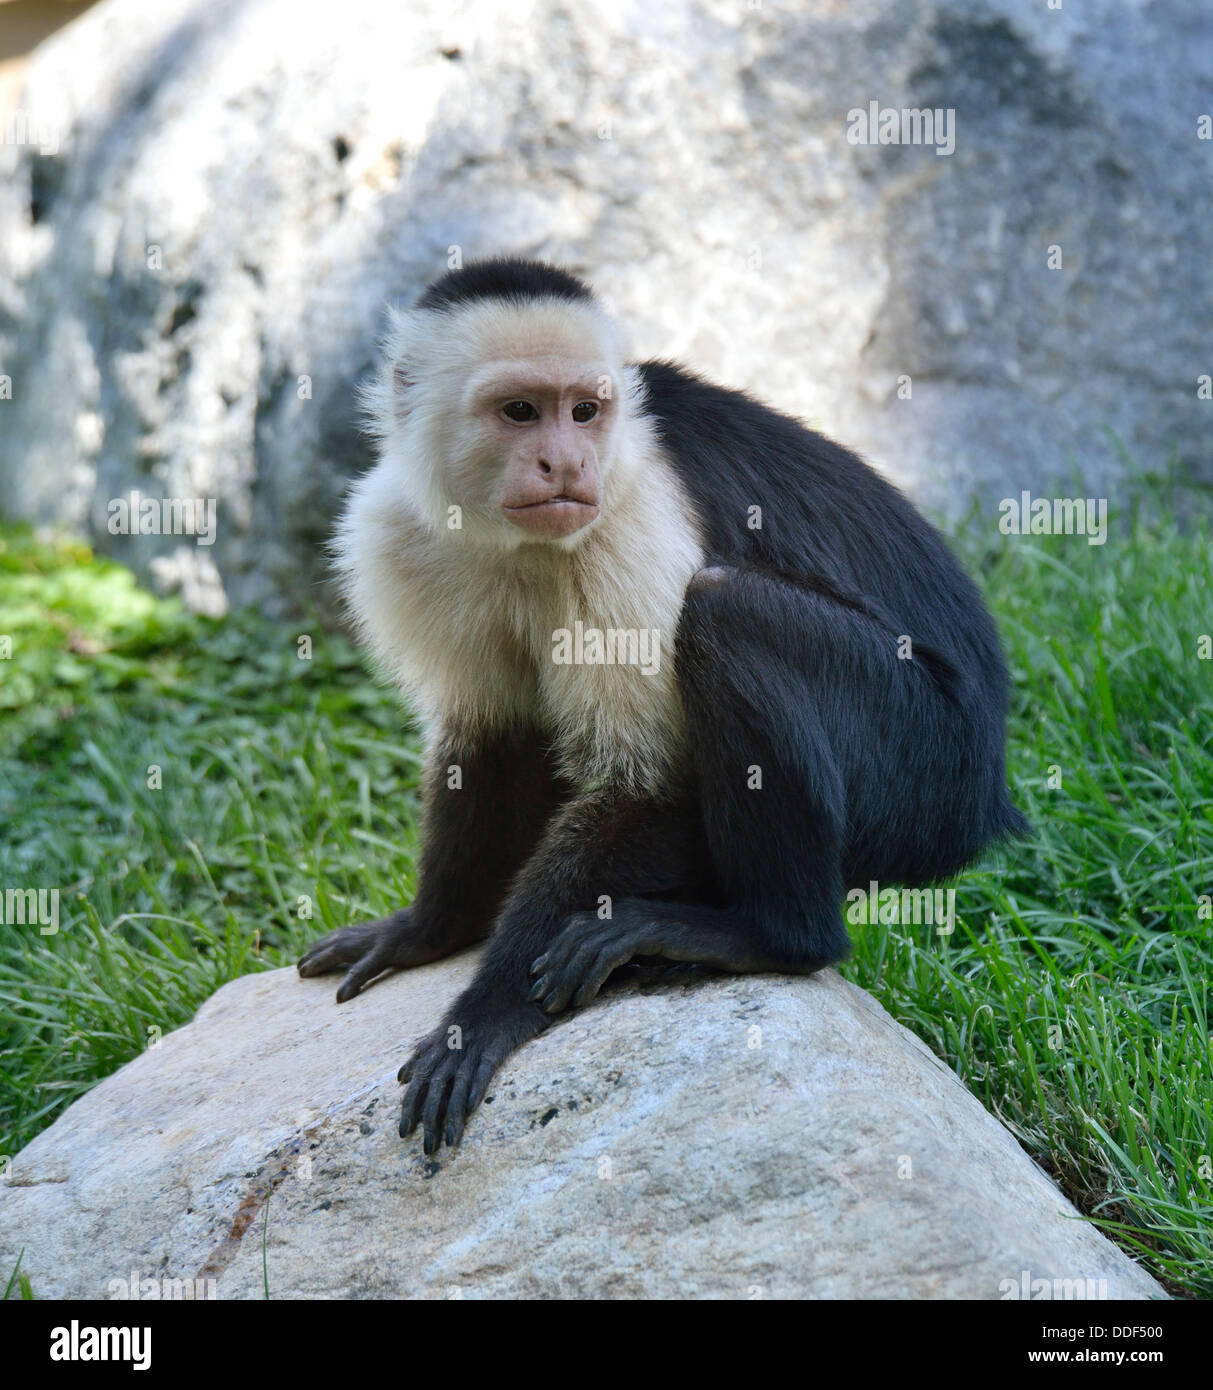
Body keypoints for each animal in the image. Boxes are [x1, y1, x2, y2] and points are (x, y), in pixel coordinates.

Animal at [298, 257, 1028, 1155]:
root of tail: (988, 792)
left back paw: (771, 938)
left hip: (928, 771)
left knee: (723, 612)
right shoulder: (400, 534)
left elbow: (657, 786)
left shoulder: (629, 521)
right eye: (519, 412)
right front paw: (428, 929)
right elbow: (494, 743)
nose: (566, 463)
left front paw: (486, 1013)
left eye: (584, 411)